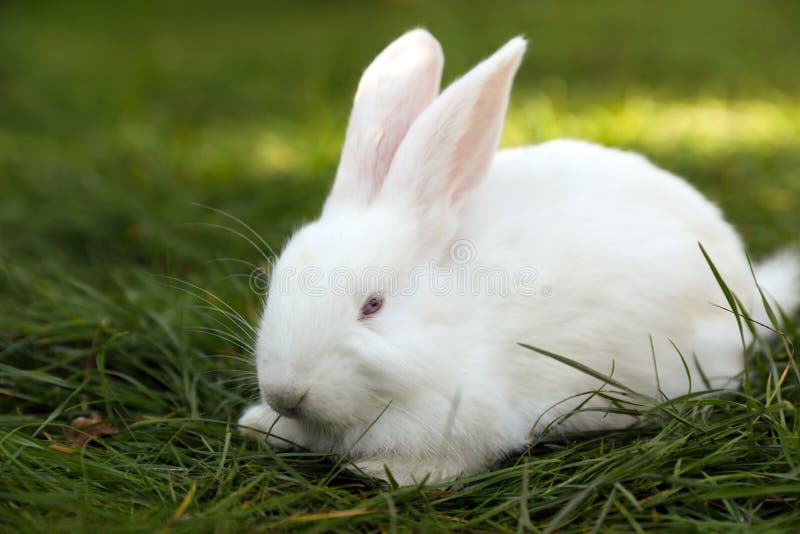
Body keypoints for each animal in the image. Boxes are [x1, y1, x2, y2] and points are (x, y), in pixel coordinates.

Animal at [238, 29, 800, 485]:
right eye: (277, 283)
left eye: (372, 306)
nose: (285, 392)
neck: (446, 327)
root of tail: (748, 292)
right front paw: (258, 426)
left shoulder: (470, 418)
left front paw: (383, 471)